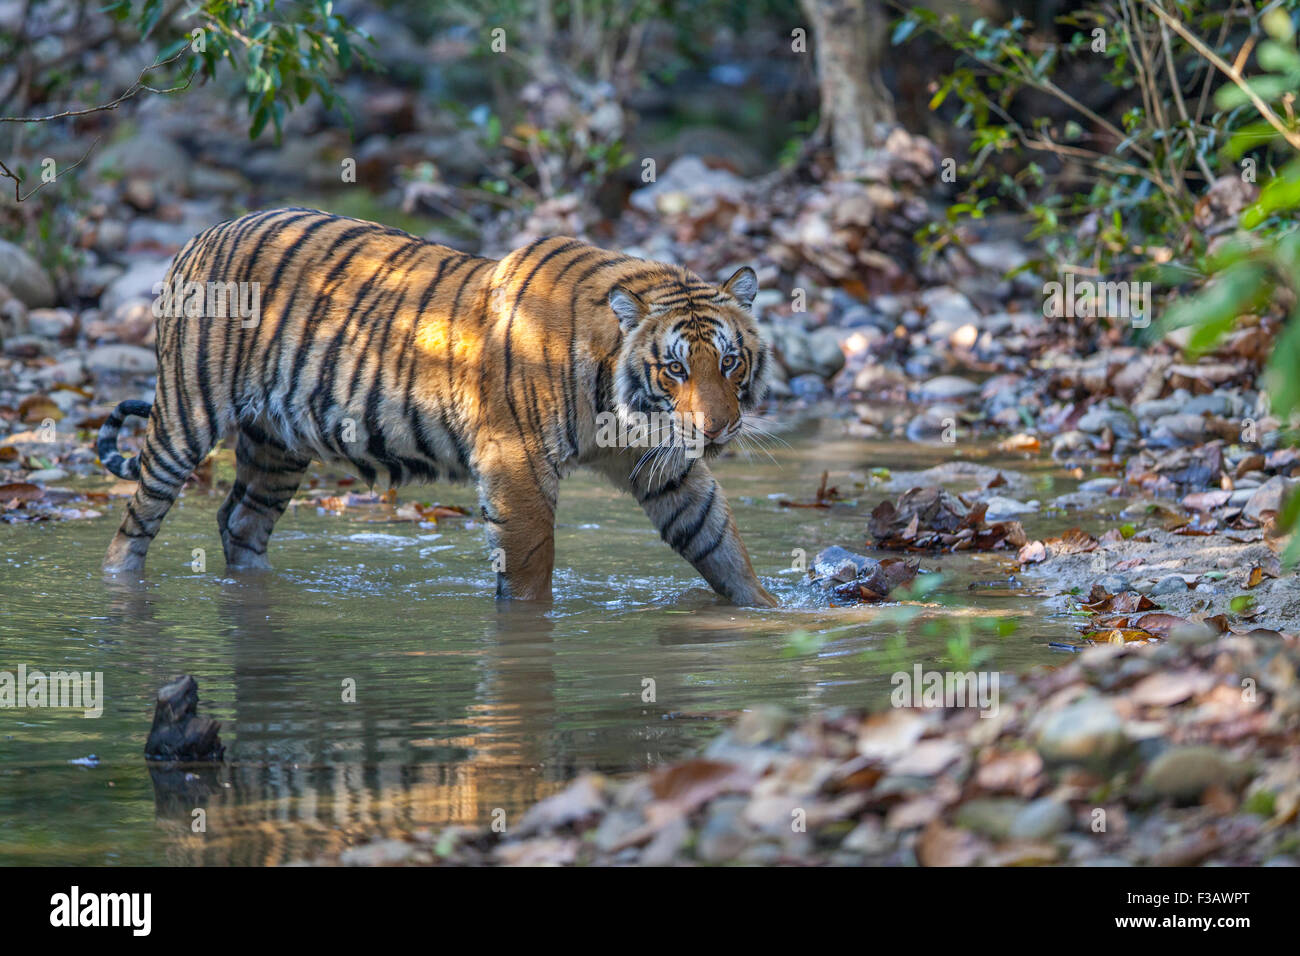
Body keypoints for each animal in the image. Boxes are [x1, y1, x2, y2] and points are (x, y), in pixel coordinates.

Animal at [97, 207, 779, 607]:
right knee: (136, 521)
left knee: (241, 522)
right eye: (675, 368)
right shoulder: (517, 463)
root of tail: (203, 234)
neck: (622, 406)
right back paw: (117, 588)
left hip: (278, 442)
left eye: (729, 362)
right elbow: (530, 572)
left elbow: (719, 542)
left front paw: (767, 615)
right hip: (187, 412)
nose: (718, 430)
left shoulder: (666, 461)